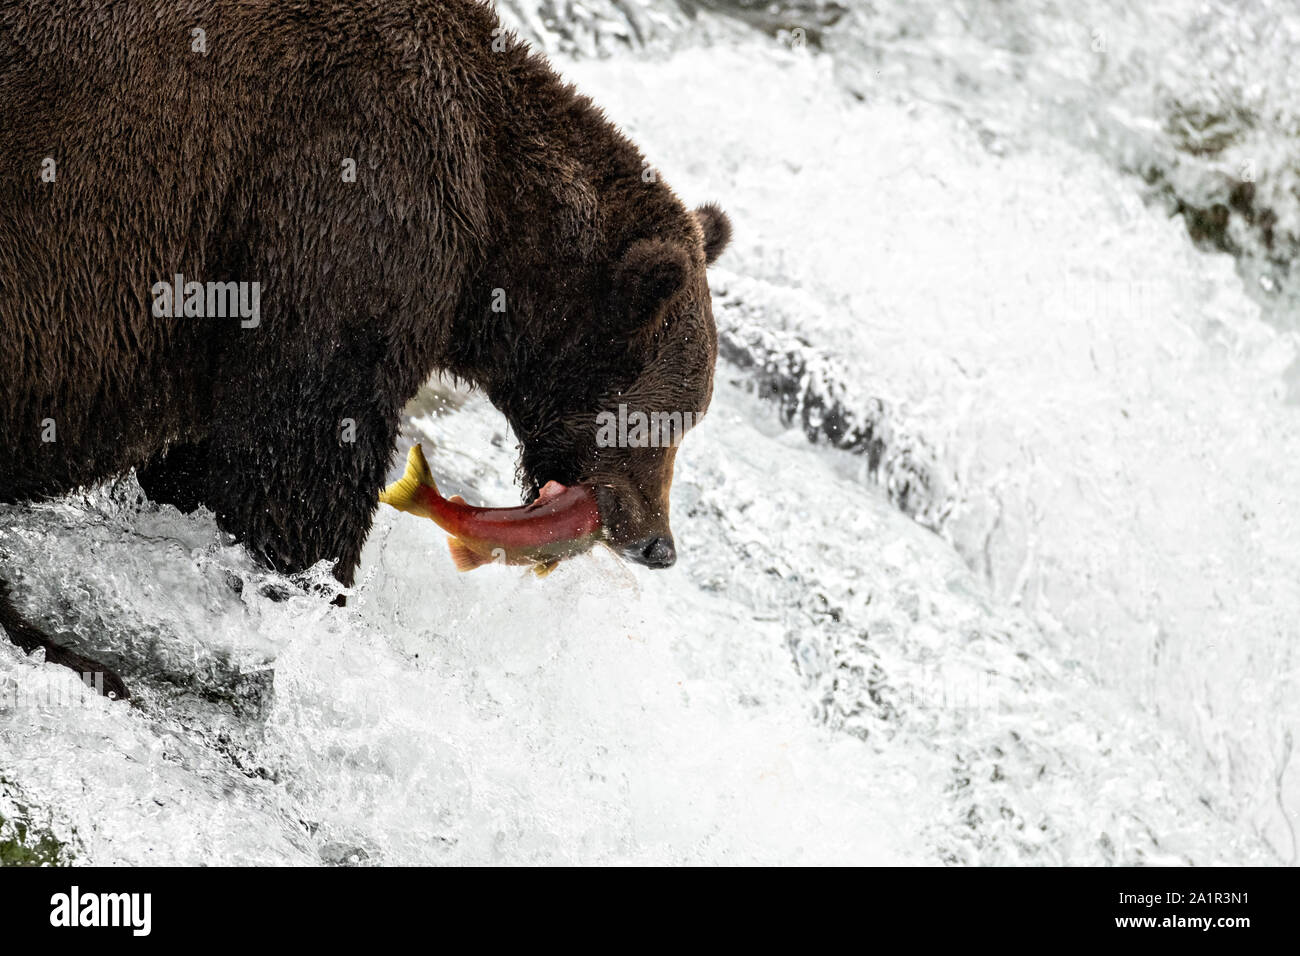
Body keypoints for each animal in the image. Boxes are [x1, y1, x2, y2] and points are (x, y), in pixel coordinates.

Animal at [0, 0, 732, 699]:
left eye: (690, 421)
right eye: (664, 420)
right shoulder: (347, 207)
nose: (659, 545)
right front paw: (310, 588)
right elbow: (305, 450)